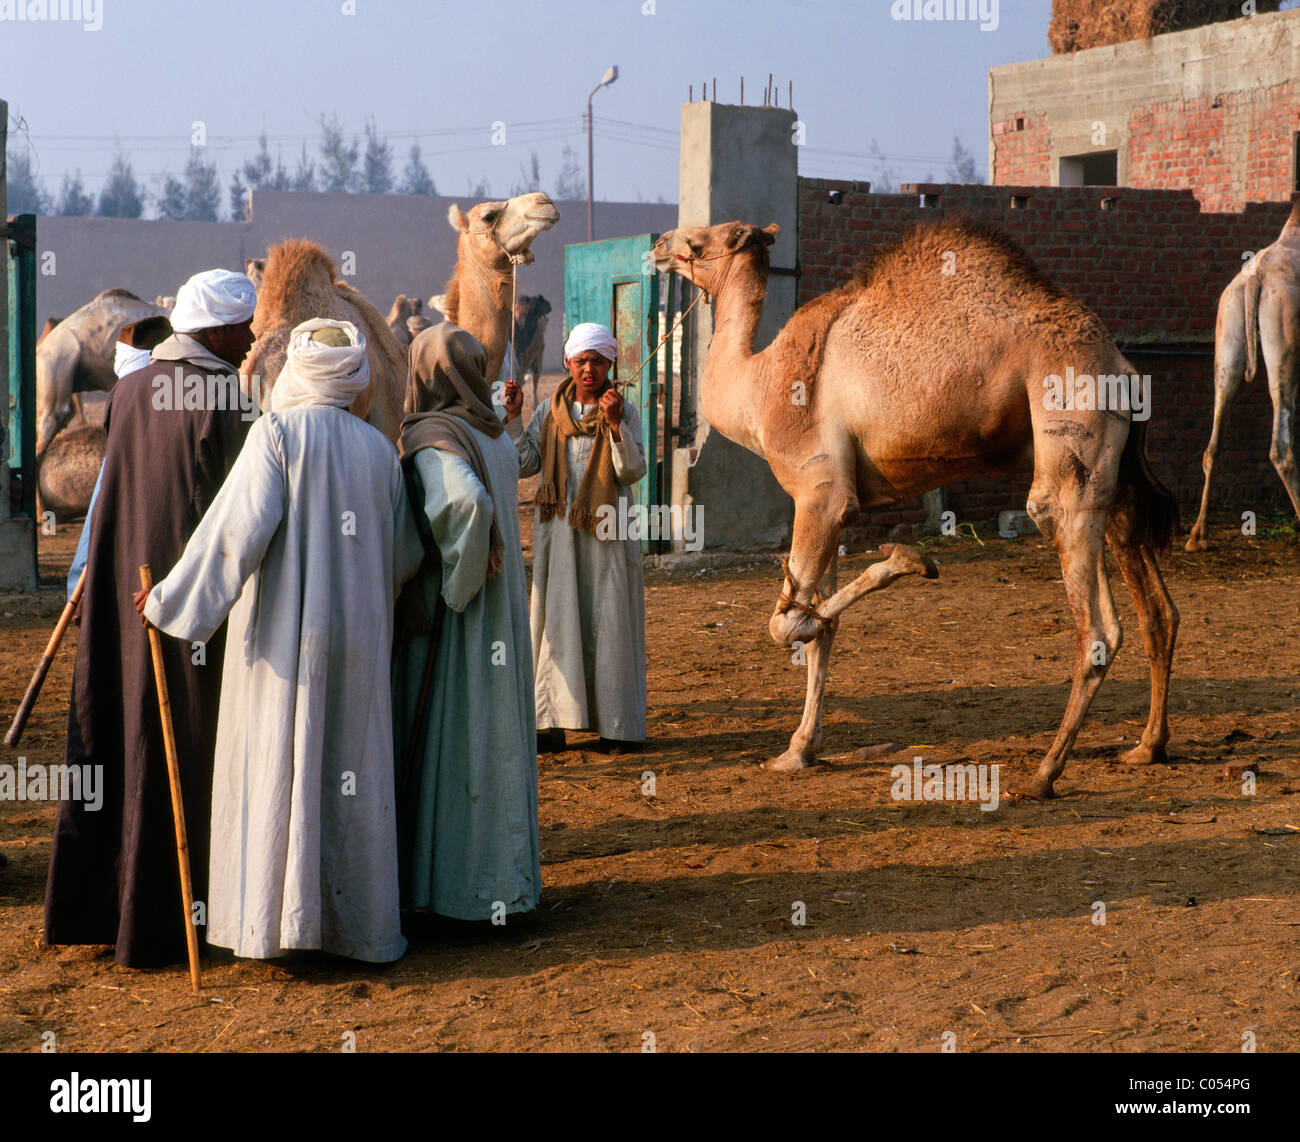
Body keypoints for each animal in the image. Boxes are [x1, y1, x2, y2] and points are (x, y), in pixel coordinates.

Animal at [654, 219, 1180, 798]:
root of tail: (1122, 367)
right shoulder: (834, 504)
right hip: (1117, 474)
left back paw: (1044, 773)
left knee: (1096, 620)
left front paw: (910, 558)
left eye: (701, 242)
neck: (760, 385)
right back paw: (1147, 747)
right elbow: (819, 628)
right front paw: (798, 751)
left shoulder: (820, 491)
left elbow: (785, 625)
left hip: (1068, 436)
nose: (658, 245)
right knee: (1157, 607)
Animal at [1186, 202, 1300, 550]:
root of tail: (1255, 279)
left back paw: (1198, 535)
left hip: (1228, 335)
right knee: (1281, 448)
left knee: (1213, 442)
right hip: (1284, 345)